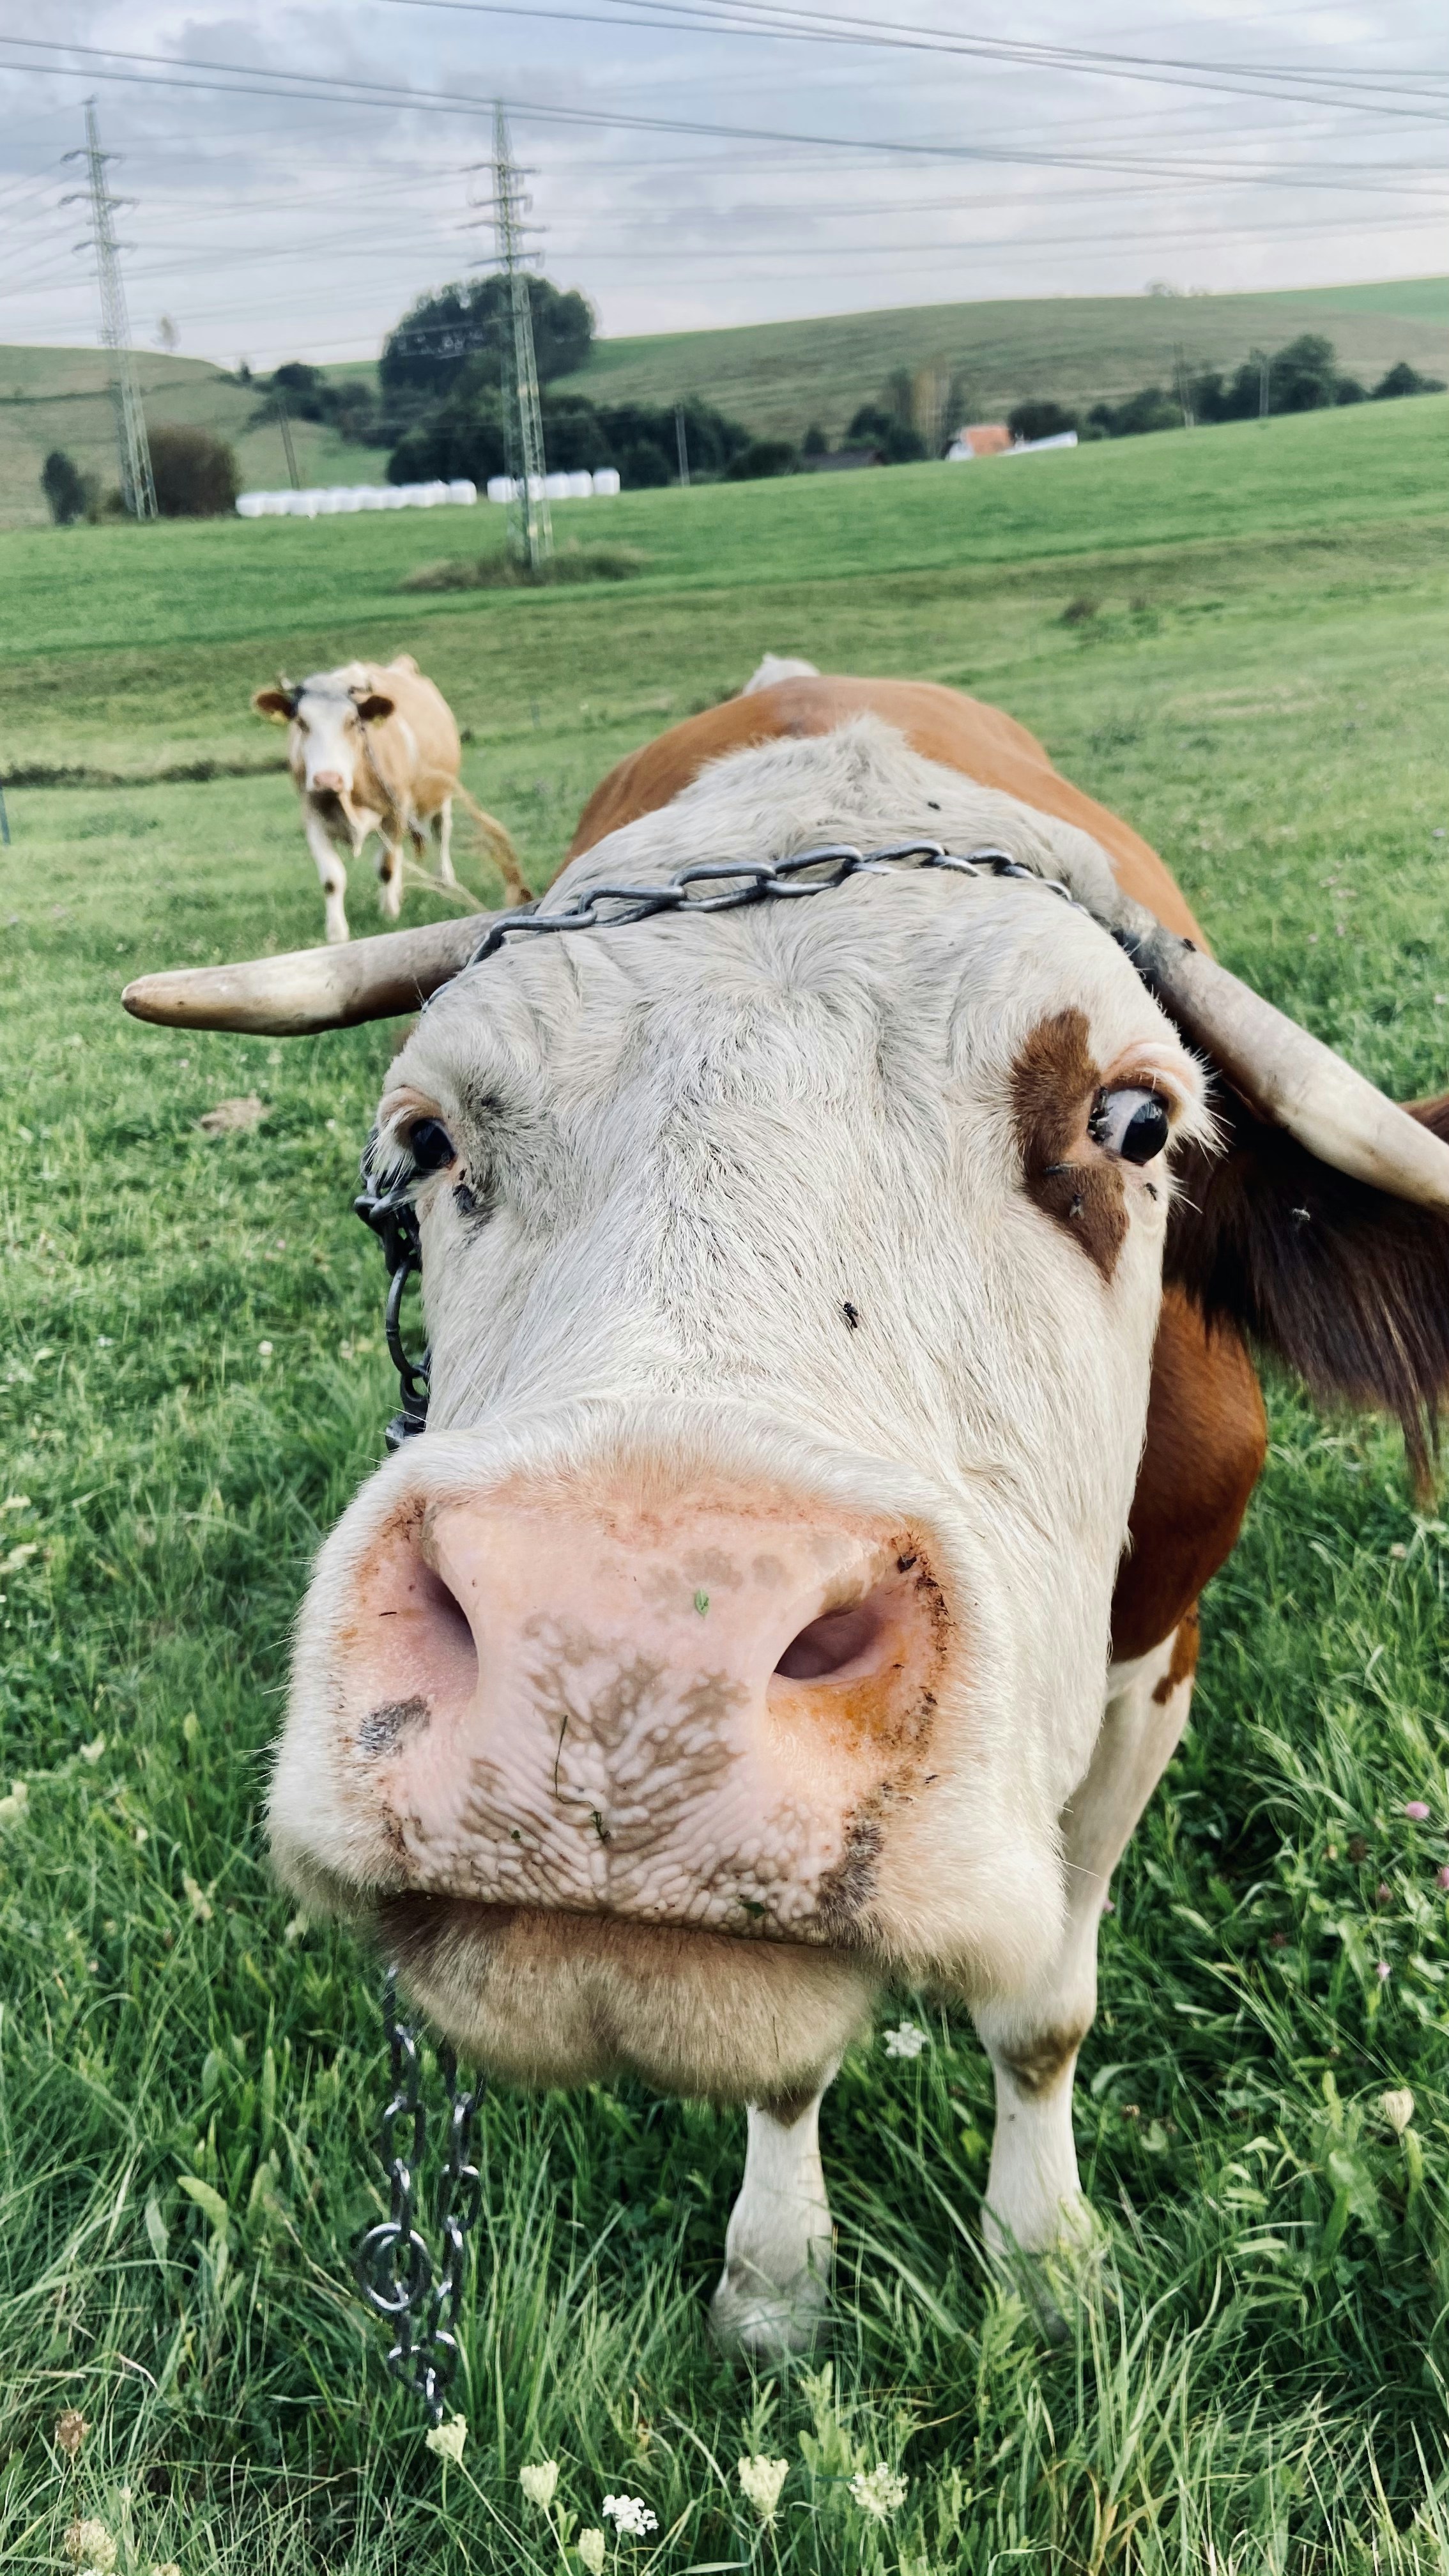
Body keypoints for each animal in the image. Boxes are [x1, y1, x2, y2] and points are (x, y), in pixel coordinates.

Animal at [253, 654, 528, 945]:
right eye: (302, 723)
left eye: (353, 722)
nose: (327, 779)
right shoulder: (313, 816)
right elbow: (332, 879)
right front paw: (337, 933)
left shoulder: (395, 811)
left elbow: (386, 866)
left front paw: (389, 916)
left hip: (441, 792)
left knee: (440, 831)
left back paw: (444, 881)